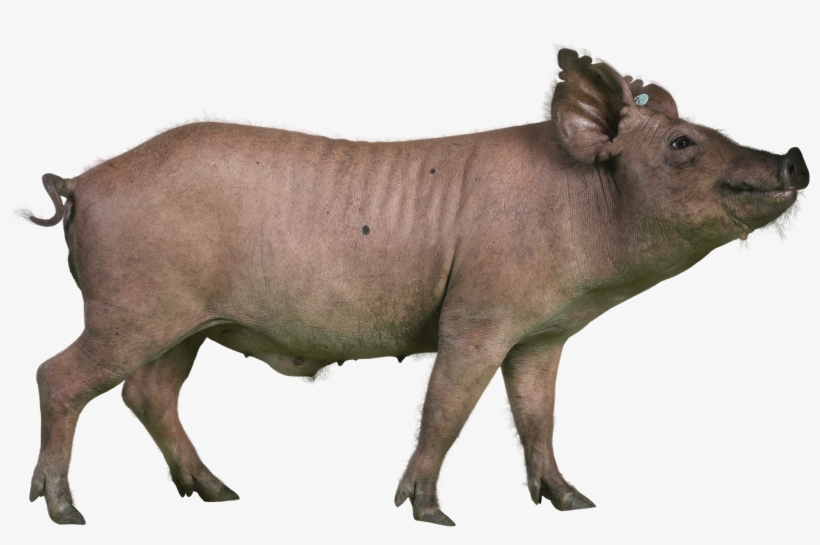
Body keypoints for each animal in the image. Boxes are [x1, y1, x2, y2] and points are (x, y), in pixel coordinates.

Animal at [23, 48, 808, 526]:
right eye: (682, 143)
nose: (795, 158)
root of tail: (82, 184)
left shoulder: (542, 333)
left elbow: (538, 415)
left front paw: (576, 503)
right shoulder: (476, 315)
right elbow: (446, 409)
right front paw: (431, 513)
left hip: (185, 325)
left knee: (148, 393)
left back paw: (221, 494)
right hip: (130, 310)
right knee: (58, 376)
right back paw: (66, 511)